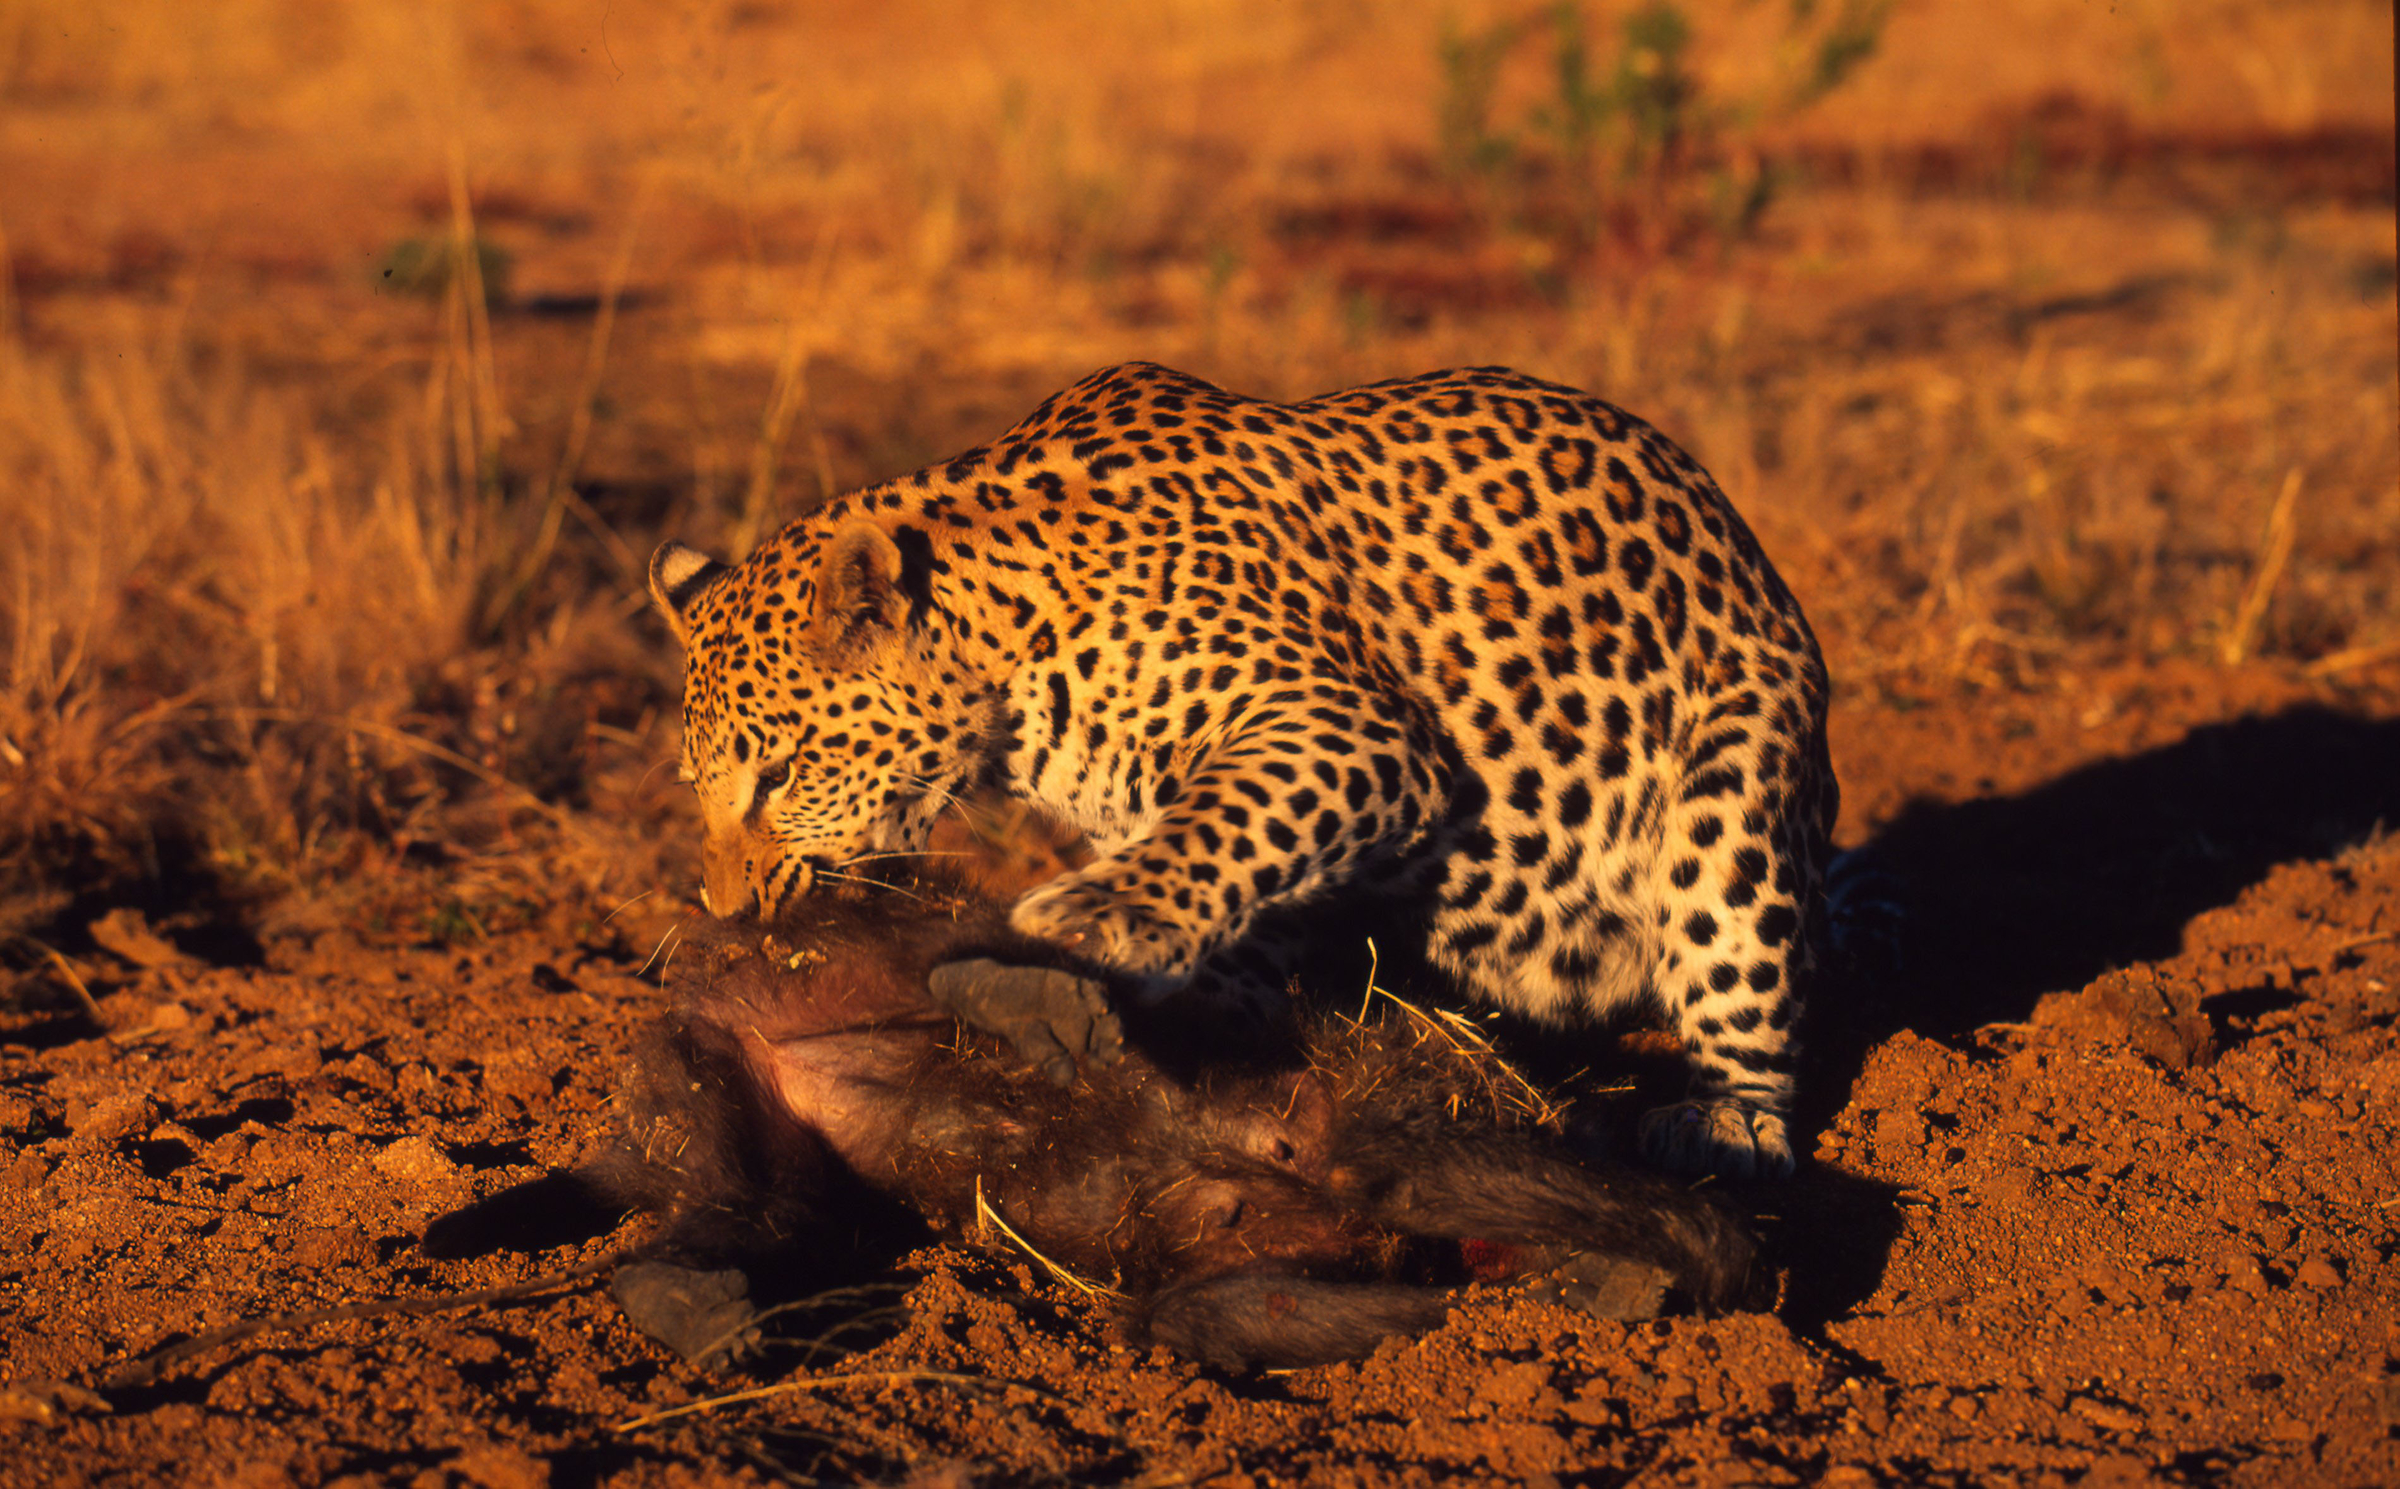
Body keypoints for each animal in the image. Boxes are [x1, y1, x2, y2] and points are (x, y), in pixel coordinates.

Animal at [647, 362, 1838, 1179]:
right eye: (700, 787)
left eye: (781, 772)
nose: (727, 908)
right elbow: (1235, 884)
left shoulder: (1351, 728)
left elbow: (1226, 824)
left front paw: (1074, 928)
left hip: (1737, 802)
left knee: (1749, 1010)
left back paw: (1723, 1123)